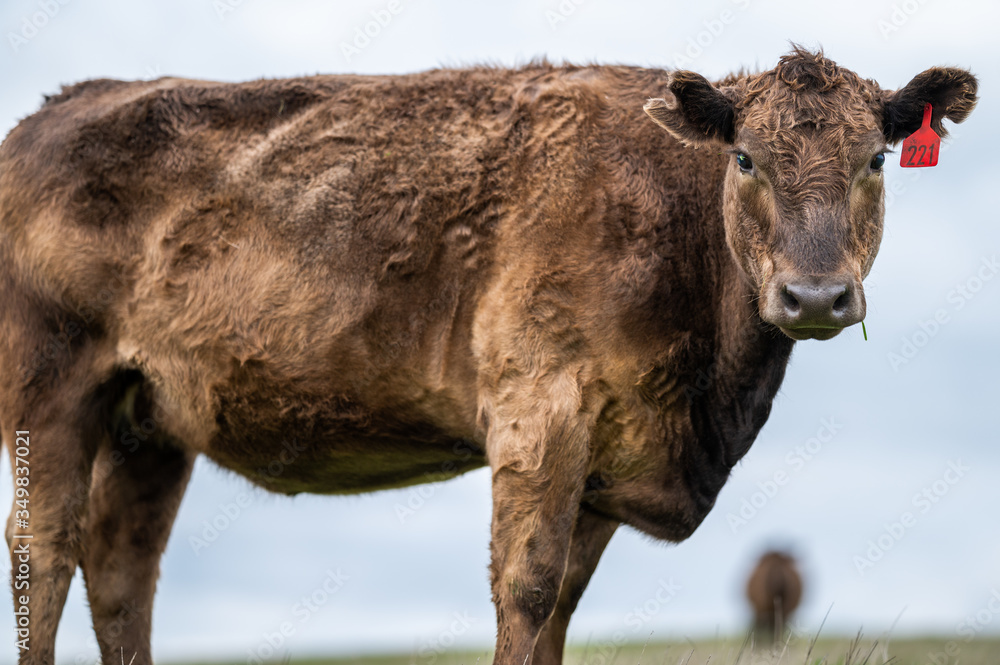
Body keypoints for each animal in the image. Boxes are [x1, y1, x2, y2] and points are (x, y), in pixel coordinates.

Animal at [0, 47, 977, 665]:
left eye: (877, 158)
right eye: (743, 157)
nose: (815, 296)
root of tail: (54, 110)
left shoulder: (604, 459)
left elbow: (565, 607)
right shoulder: (541, 408)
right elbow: (528, 587)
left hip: (151, 420)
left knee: (121, 572)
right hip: (53, 387)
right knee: (43, 553)